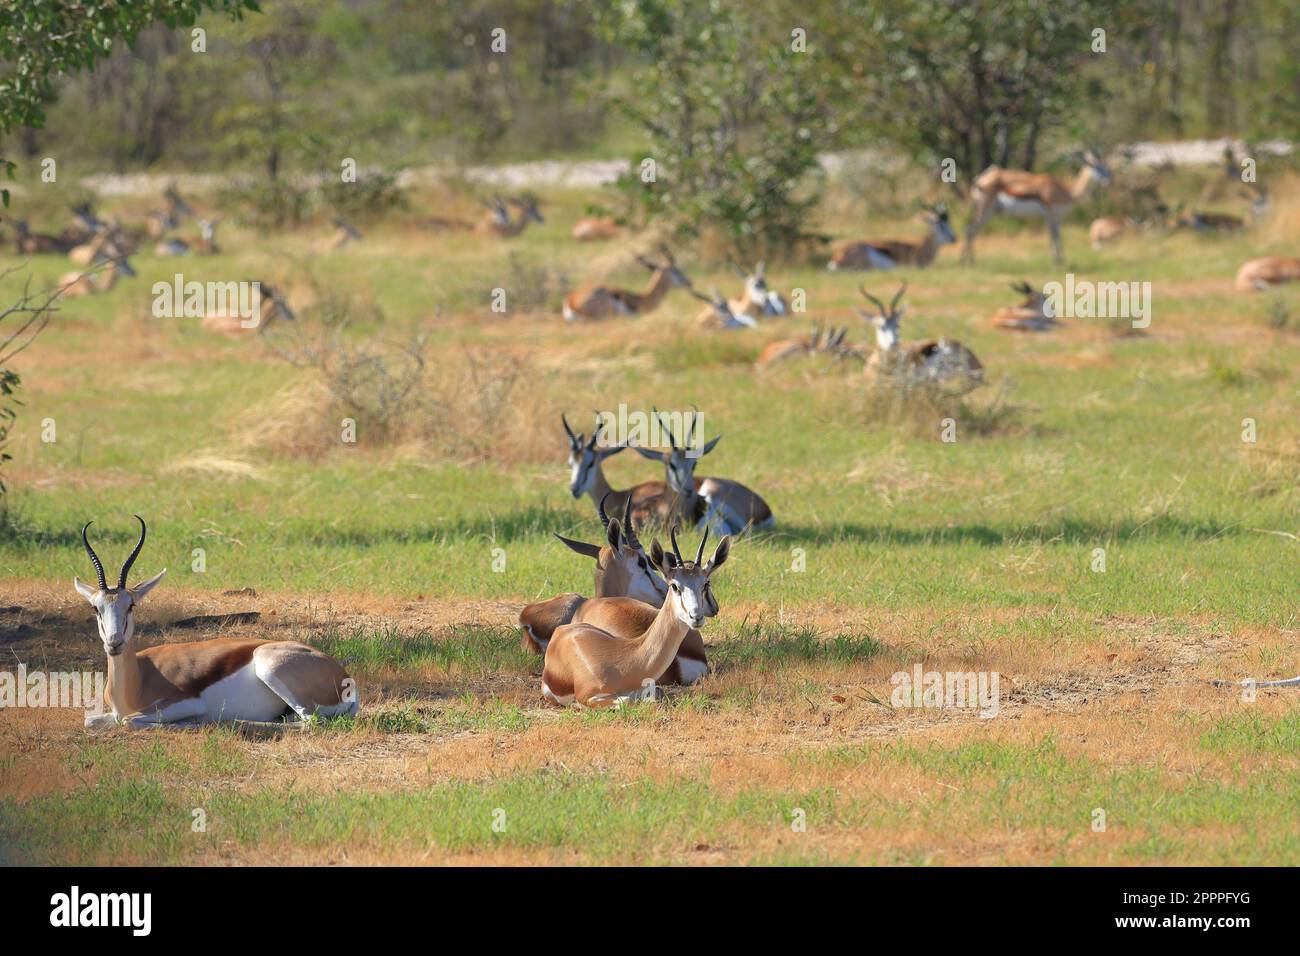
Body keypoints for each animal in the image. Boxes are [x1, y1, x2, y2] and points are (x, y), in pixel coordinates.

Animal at [76, 517, 358, 729]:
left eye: (131, 605)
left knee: (311, 722)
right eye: (96, 607)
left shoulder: (186, 703)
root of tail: (343, 677)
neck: (137, 682)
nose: (114, 643)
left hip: (269, 667)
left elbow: (129, 721)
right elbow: (91, 721)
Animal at [542, 527, 729, 707]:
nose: (696, 616)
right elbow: (625, 701)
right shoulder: (588, 696)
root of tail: (562, 630)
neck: (629, 663)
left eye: (705, 584)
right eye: (675, 586)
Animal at [962, 149, 1112, 263]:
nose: (1109, 178)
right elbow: (1053, 236)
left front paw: (1062, 260)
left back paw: (969, 260)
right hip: (985, 210)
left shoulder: (1057, 216)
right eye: (1097, 167)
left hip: (989, 211)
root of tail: (979, 179)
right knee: (970, 230)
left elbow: (1058, 236)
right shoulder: (1050, 214)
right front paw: (1056, 262)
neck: (1067, 190)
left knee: (971, 230)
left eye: (1105, 165)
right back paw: (966, 261)